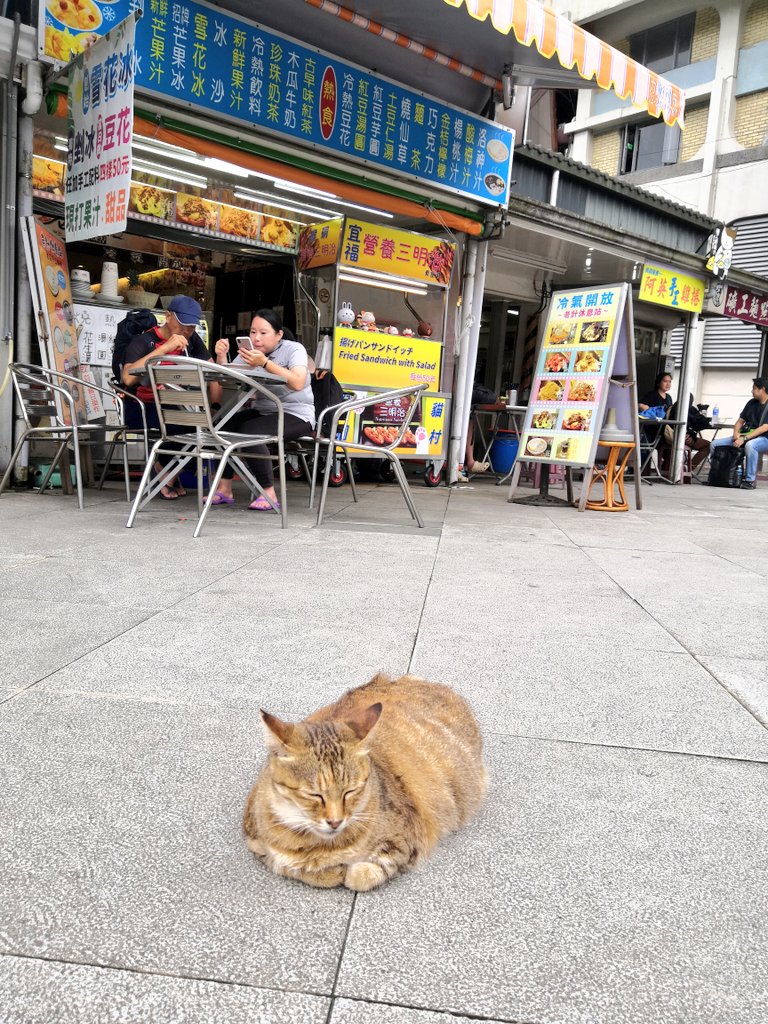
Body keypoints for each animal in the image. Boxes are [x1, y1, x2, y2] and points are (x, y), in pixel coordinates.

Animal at [243, 671, 489, 888]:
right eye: (314, 795)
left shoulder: (408, 837)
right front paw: (328, 871)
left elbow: (366, 873)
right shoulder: (257, 845)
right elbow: (294, 867)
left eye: (350, 791)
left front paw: (350, 871)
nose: (335, 822)